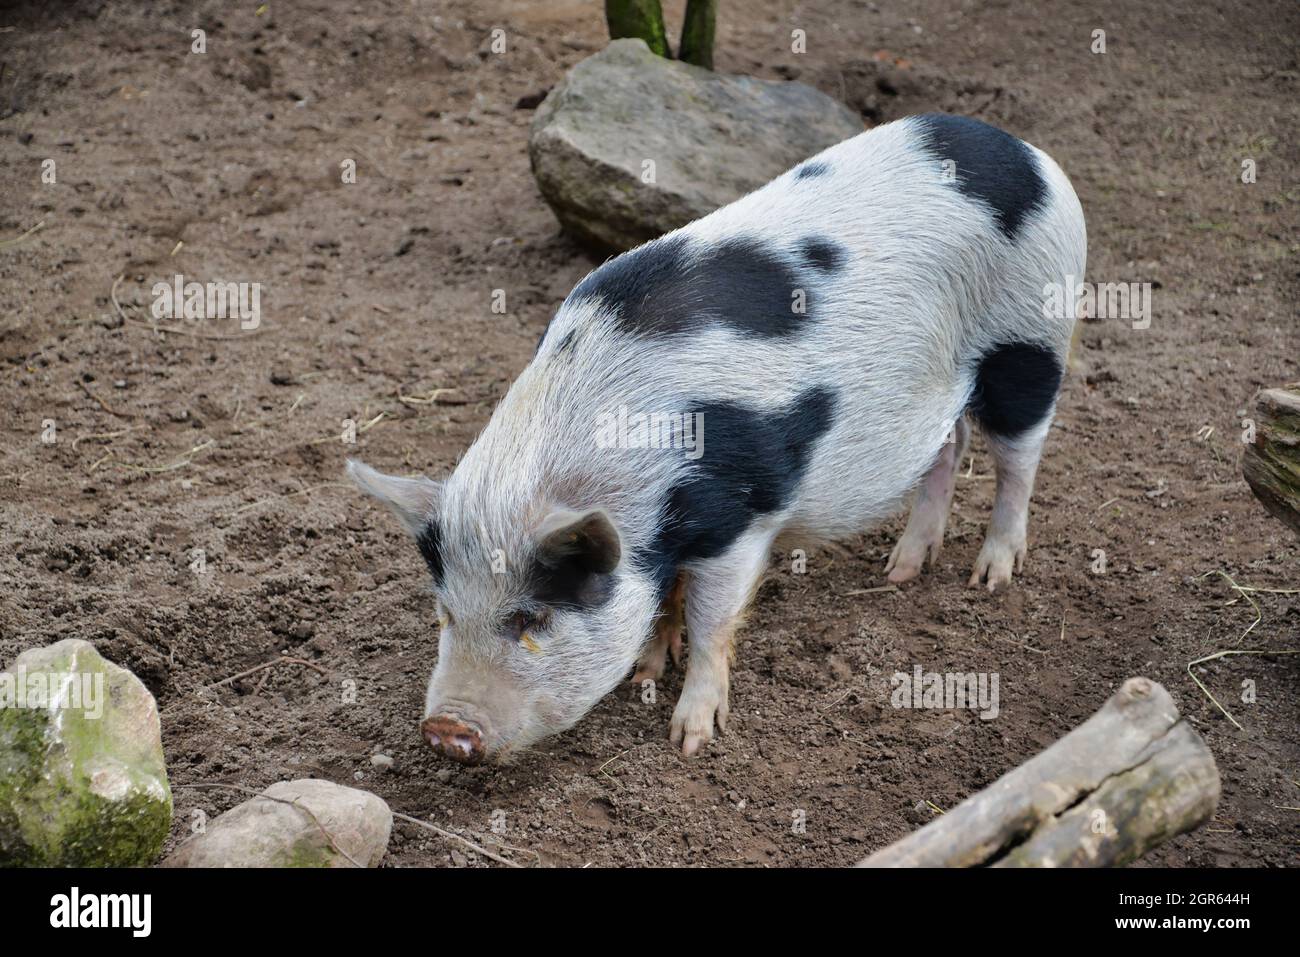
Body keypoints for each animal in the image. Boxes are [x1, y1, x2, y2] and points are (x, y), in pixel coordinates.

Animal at [348, 113, 1086, 763]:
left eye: (533, 619)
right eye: (446, 613)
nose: (445, 730)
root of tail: (1027, 154)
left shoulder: (740, 518)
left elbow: (713, 618)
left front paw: (691, 738)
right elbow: (664, 598)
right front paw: (647, 670)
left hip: (1033, 336)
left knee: (1020, 457)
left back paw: (989, 576)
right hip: (939, 386)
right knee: (947, 446)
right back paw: (901, 568)